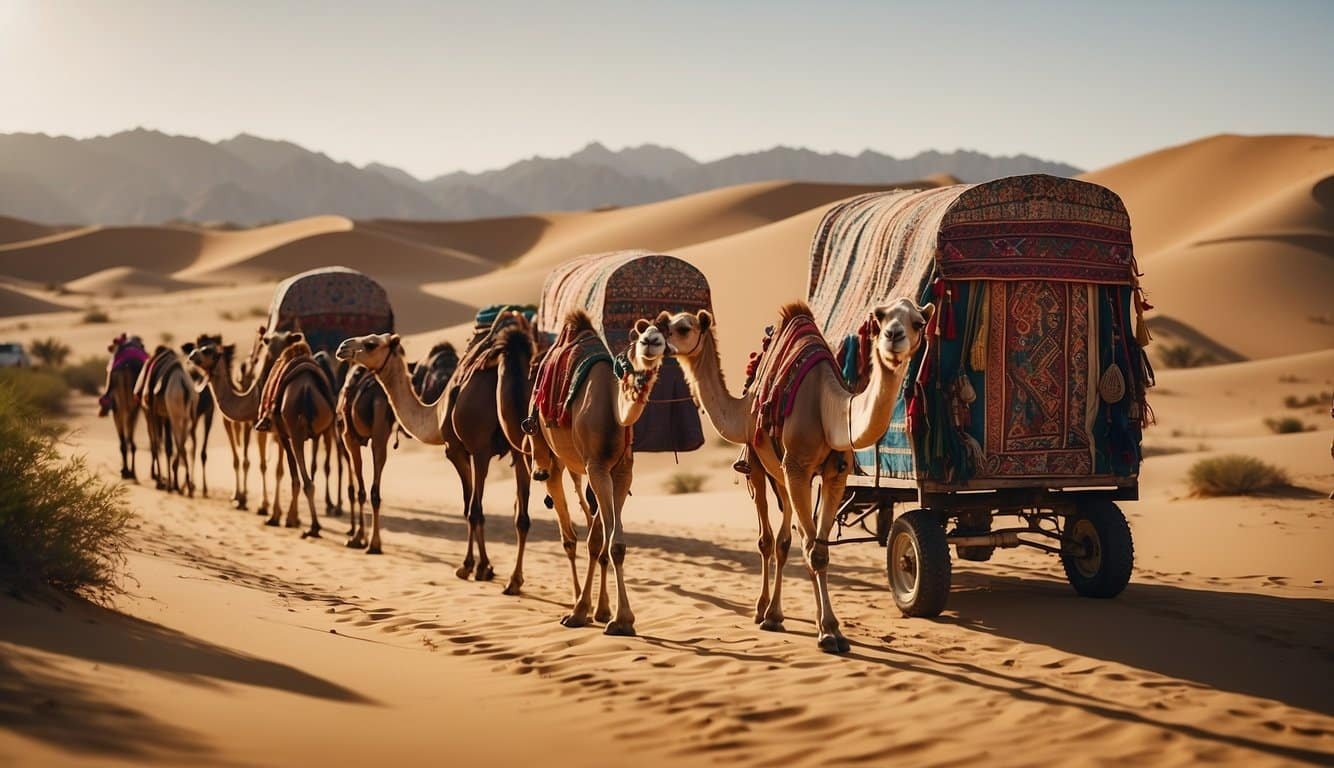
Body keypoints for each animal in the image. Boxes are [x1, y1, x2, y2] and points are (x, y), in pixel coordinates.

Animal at [336, 316, 535, 591]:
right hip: (523, 447)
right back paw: (515, 580)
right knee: (522, 517)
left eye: (371, 344)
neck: (434, 413)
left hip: (481, 449)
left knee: (478, 509)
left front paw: (474, 567)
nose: (343, 346)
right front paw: (486, 568)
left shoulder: (458, 449)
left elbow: (470, 508)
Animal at [524, 311, 667, 636]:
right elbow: (599, 542)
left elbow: (612, 543)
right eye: (639, 337)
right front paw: (581, 612)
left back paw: (596, 608)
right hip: (550, 458)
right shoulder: (597, 467)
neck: (612, 411)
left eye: (664, 335)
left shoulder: (620, 472)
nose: (651, 341)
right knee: (567, 532)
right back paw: (577, 600)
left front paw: (615, 616)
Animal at [655, 298, 931, 653]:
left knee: (789, 540)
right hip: (771, 468)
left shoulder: (831, 475)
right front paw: (822, 629)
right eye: (881, 318)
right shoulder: (776, 469)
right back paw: (765, 611)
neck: (828, 410)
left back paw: (774, 613)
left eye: (918, 322)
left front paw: (829, 629)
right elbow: (779, 543)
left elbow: (816, 550)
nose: (894, 336)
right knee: (775, 540)